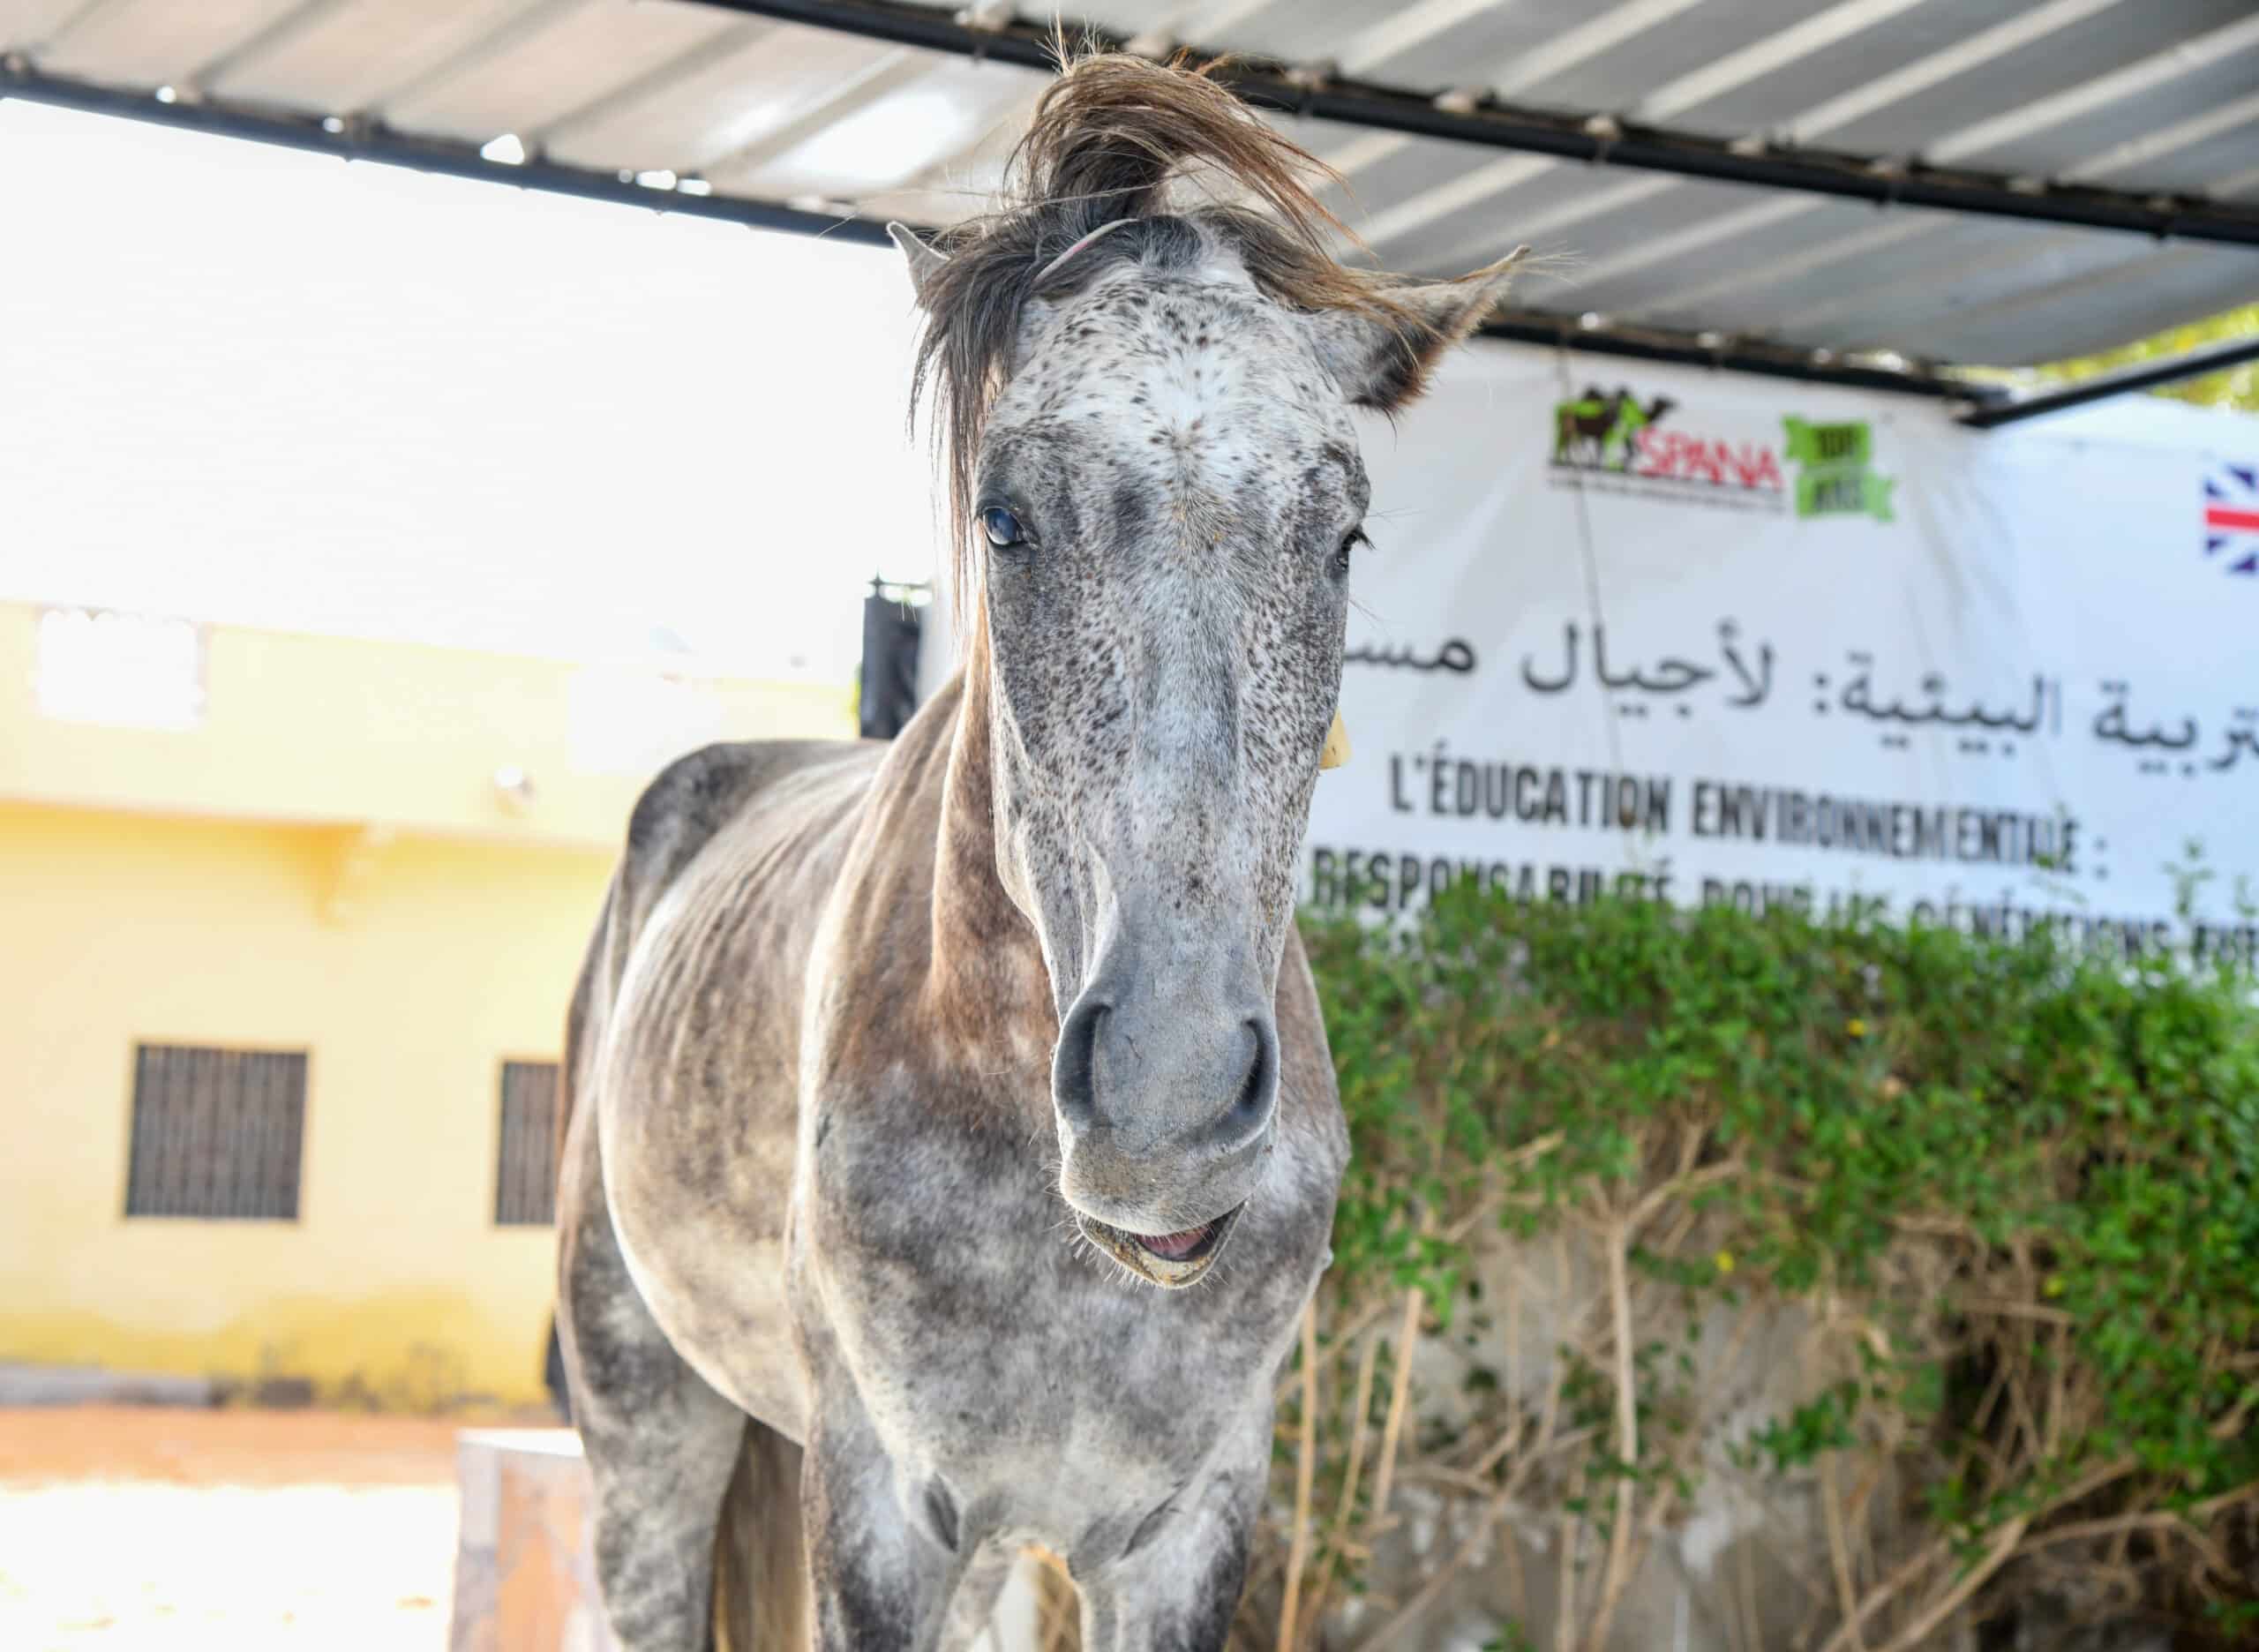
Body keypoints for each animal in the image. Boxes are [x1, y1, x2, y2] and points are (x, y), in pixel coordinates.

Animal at [554, 50, 1520, 1651]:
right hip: (643, 1424)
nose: (1165, 1109)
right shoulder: (877, 1515)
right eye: (1003, 518)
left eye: (1346, 539)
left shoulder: (1185, 1528)